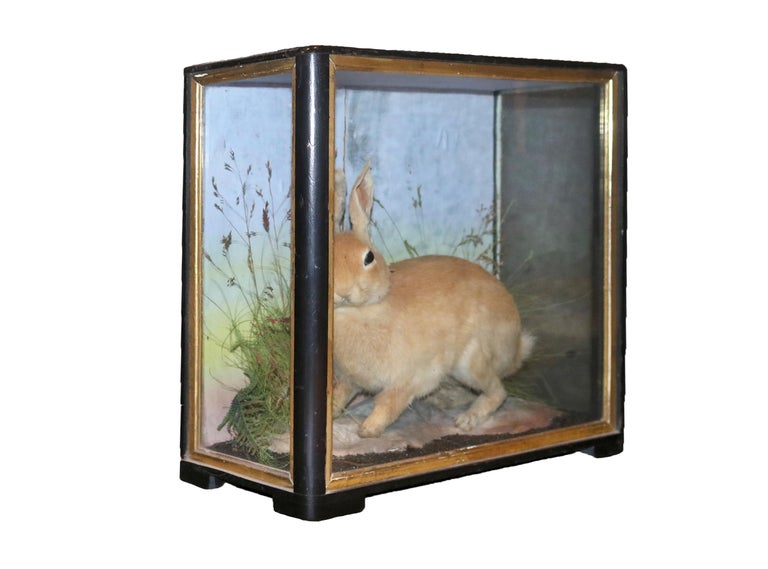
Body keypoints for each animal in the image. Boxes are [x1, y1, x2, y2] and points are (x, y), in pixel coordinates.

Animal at [332, 163, 535, 438]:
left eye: (369, 257)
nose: (342, 291)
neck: (358, 310)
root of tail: (516, 348)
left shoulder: (408, 380)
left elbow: (388, 404)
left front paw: (368, 430)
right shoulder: (349, 380)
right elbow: (339, 396)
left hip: (471, 361)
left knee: (498, 392)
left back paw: (467, 420)